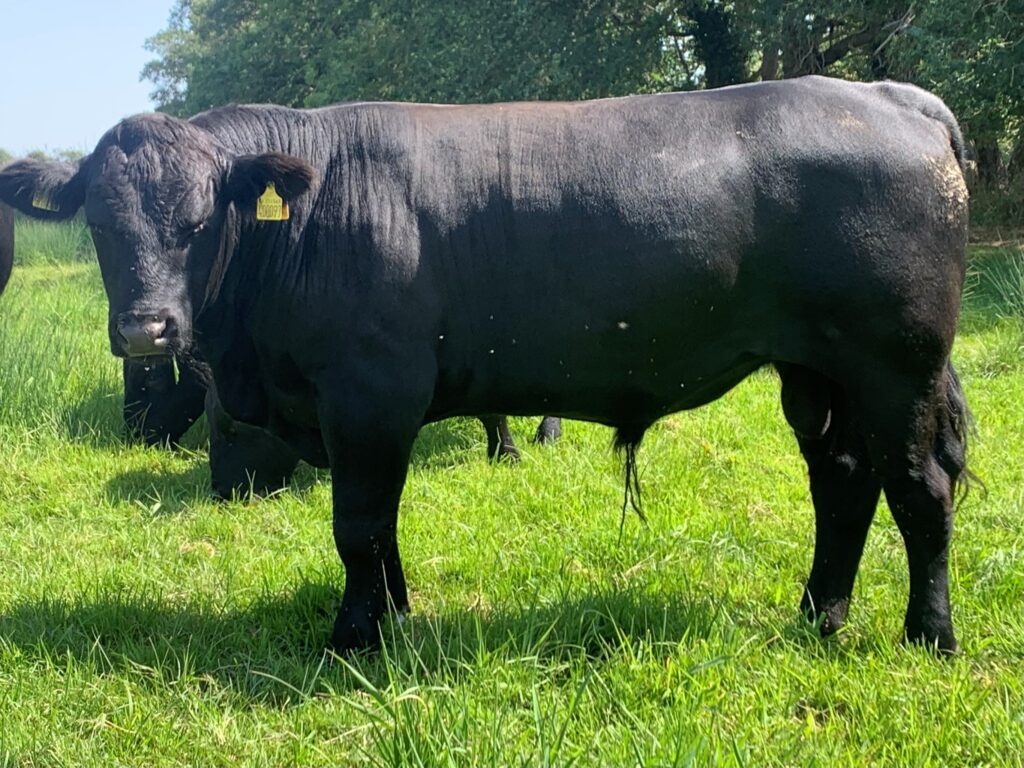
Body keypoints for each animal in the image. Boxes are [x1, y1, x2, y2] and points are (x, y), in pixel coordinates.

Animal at [0, 76, 971, 655]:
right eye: (100, 224)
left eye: (200, 220)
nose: (147, 329)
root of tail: (889, 95)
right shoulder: (370, 414)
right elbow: (381, 526)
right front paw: (392, 613)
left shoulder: (368, 397)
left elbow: (357, 524)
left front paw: (354, 636)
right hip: (819, 375)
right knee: (842, 482)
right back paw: (819, 614)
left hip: (897, 366)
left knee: (919, 489)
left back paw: (928, 634)